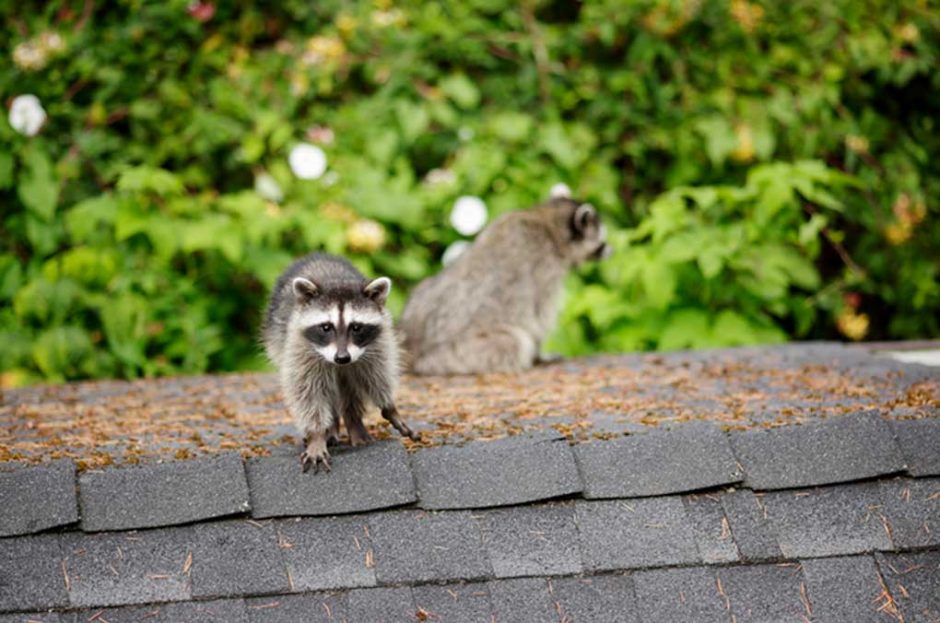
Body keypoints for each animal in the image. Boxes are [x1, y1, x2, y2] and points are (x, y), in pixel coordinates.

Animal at [262, 253, 418, 472]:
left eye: (356, 327)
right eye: (326, 327)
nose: (342, 358)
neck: (336, 281)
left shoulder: (377, 345)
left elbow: (377, 376)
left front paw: (390, 407)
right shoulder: (299, 347)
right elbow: (307, 391)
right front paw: (317, 435)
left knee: (349, 389)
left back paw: (354, 423)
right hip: (278, 338)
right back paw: (331, 428)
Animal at [399, 197, 610, 375]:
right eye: (602, 241)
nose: (611, 250)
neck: (544, 220)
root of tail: (413, 349)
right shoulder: (545, 269)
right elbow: (538, 317)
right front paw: (540, 354)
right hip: (456, 353)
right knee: (515, 342)